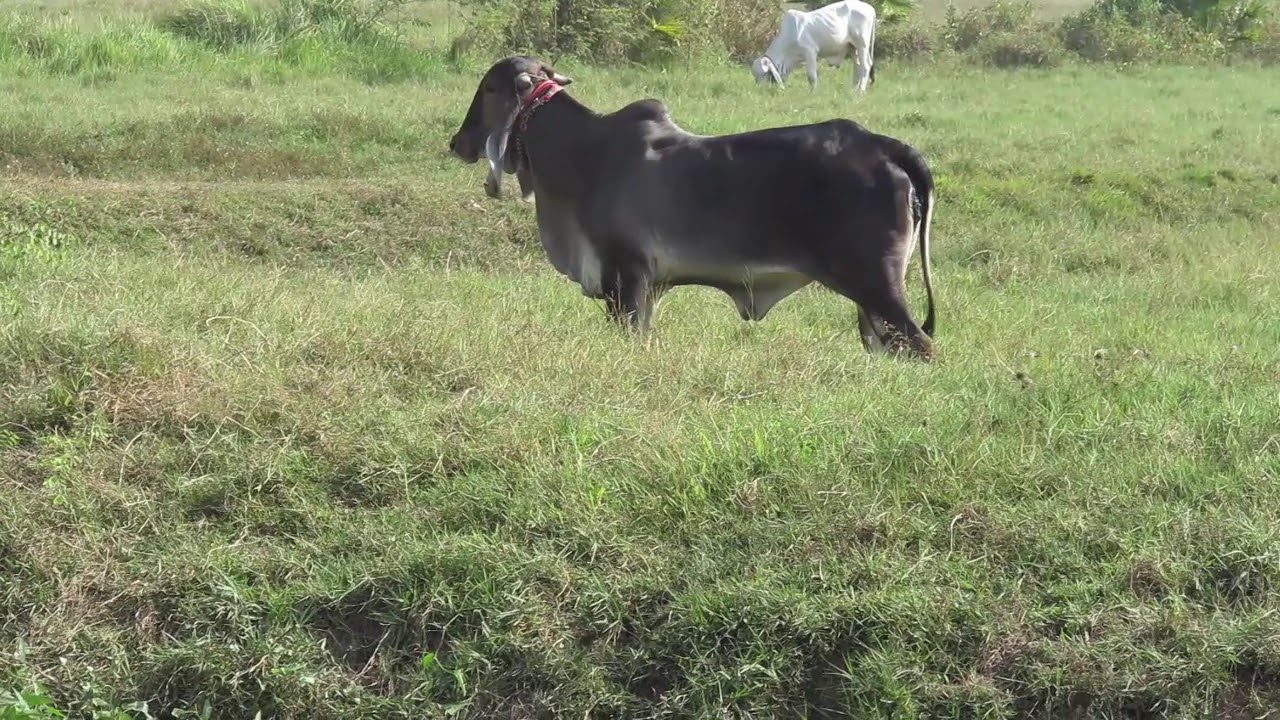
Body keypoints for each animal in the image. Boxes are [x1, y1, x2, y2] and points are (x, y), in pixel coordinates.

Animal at [447, 56, 937, 360]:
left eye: (488, 88)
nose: (457, 142)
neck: (582, 152)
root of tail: (882, 145)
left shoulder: (627, 278)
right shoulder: (638, 288)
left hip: (877, 285)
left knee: (922, 346)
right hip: (871, 307)